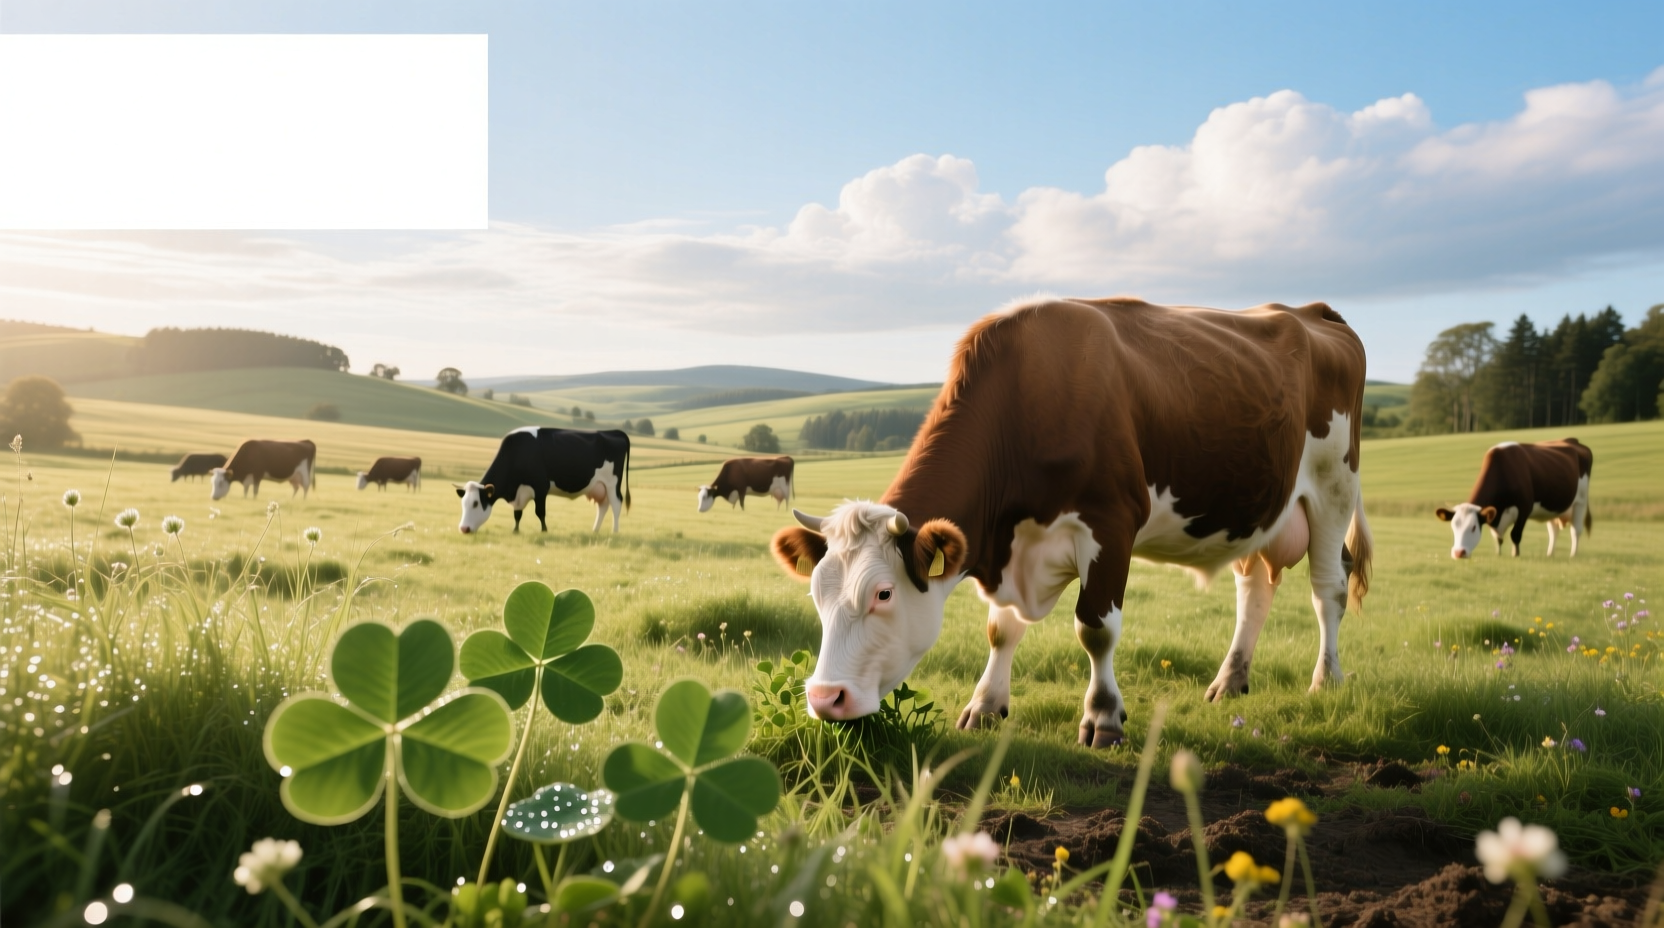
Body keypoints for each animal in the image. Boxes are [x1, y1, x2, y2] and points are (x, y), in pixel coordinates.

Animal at [455, 428, 631, 534]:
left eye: (476, 503)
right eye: (463, 503)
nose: (463, 528)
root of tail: (614, 431)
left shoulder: (540, 488)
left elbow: (540, 512)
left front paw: (544, 531)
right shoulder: (519, 493)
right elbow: (517, 514)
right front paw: (515, 531)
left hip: (612, 483)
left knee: (616, 503)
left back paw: (615, 531)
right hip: (599, 486)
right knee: (603, 506)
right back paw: (595, 530)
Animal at [770, 298, 1372, 748]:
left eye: (884, 594)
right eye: (817, 595)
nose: (824, 698)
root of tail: (1311, 311)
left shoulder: (1111, 524)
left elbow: (1095, 628)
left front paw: (1104, 719)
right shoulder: (1006, 546)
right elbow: (1001, 629)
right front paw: (984, 705)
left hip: (1333, 486)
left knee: (1328, 588)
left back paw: (1327, 680)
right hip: (1260, 509)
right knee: (1255, 591)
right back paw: (1229, 680)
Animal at [1435, 439, 1592, 559]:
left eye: (1473, 527)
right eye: (1453, 526)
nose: (1458, 553)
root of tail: (1572, 441)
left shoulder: (1524, 508)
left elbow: (1515, 534)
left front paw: (1515, 554)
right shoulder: (1494, 515)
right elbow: (1498, 538)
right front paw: (1498, 554)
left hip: (1581, 501)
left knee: (1576, 531)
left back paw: (1573, 555)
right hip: (1554, 508)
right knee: (1554, 531)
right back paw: (1550, 554)